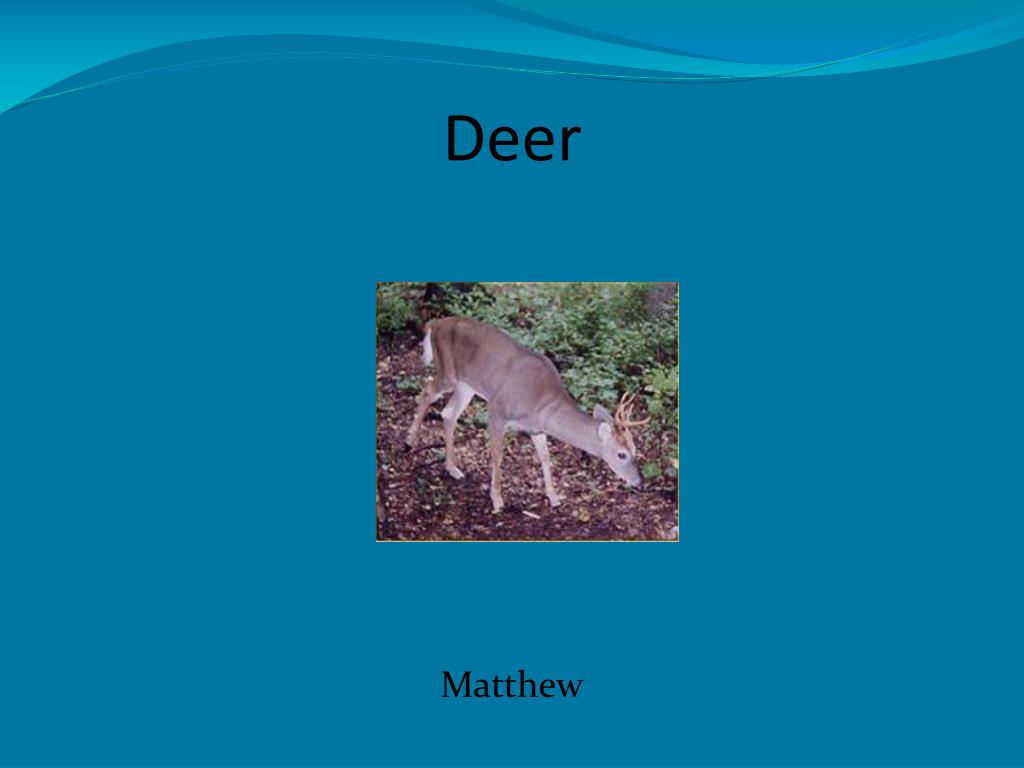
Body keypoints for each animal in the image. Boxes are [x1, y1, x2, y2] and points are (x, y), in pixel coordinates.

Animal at [405, 317, 650, 514]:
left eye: (635, 449)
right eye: (621, 454)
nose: (639, 481)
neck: (541, 404)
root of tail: (434, 323)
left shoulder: (536, 429)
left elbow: (545, 458)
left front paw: (554, 497)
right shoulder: (498, 409)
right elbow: (497, 454)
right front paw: (497, 499)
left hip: (468, 384)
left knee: (448, 413)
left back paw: (453, 468)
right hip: (448, 372)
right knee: (427, 389)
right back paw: (409, 442)